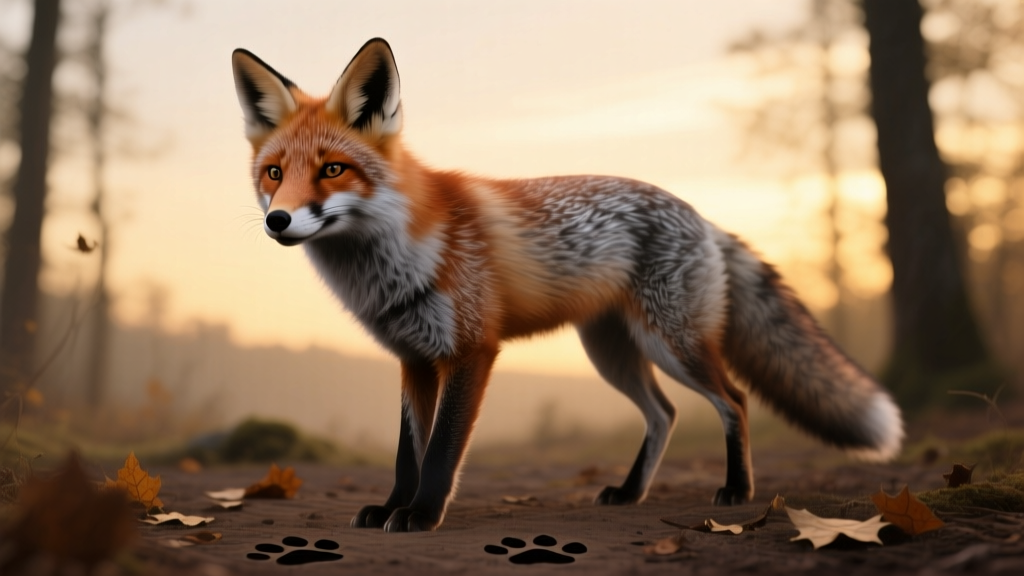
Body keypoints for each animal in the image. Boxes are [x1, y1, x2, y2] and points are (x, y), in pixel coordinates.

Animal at [231, 38, 903, 533]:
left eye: (333, 169)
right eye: (274, 173)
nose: (277, 221)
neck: (389, 261)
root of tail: (698, 213)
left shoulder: (471, 350)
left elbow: (441, 450)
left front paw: (420, 515)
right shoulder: (414, 358)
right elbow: (406, 453)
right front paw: (394, 507)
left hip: (672, 345)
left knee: (733, 401)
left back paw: (736, 490)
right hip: (612, 354)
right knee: (664, 414)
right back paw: (630, 494)